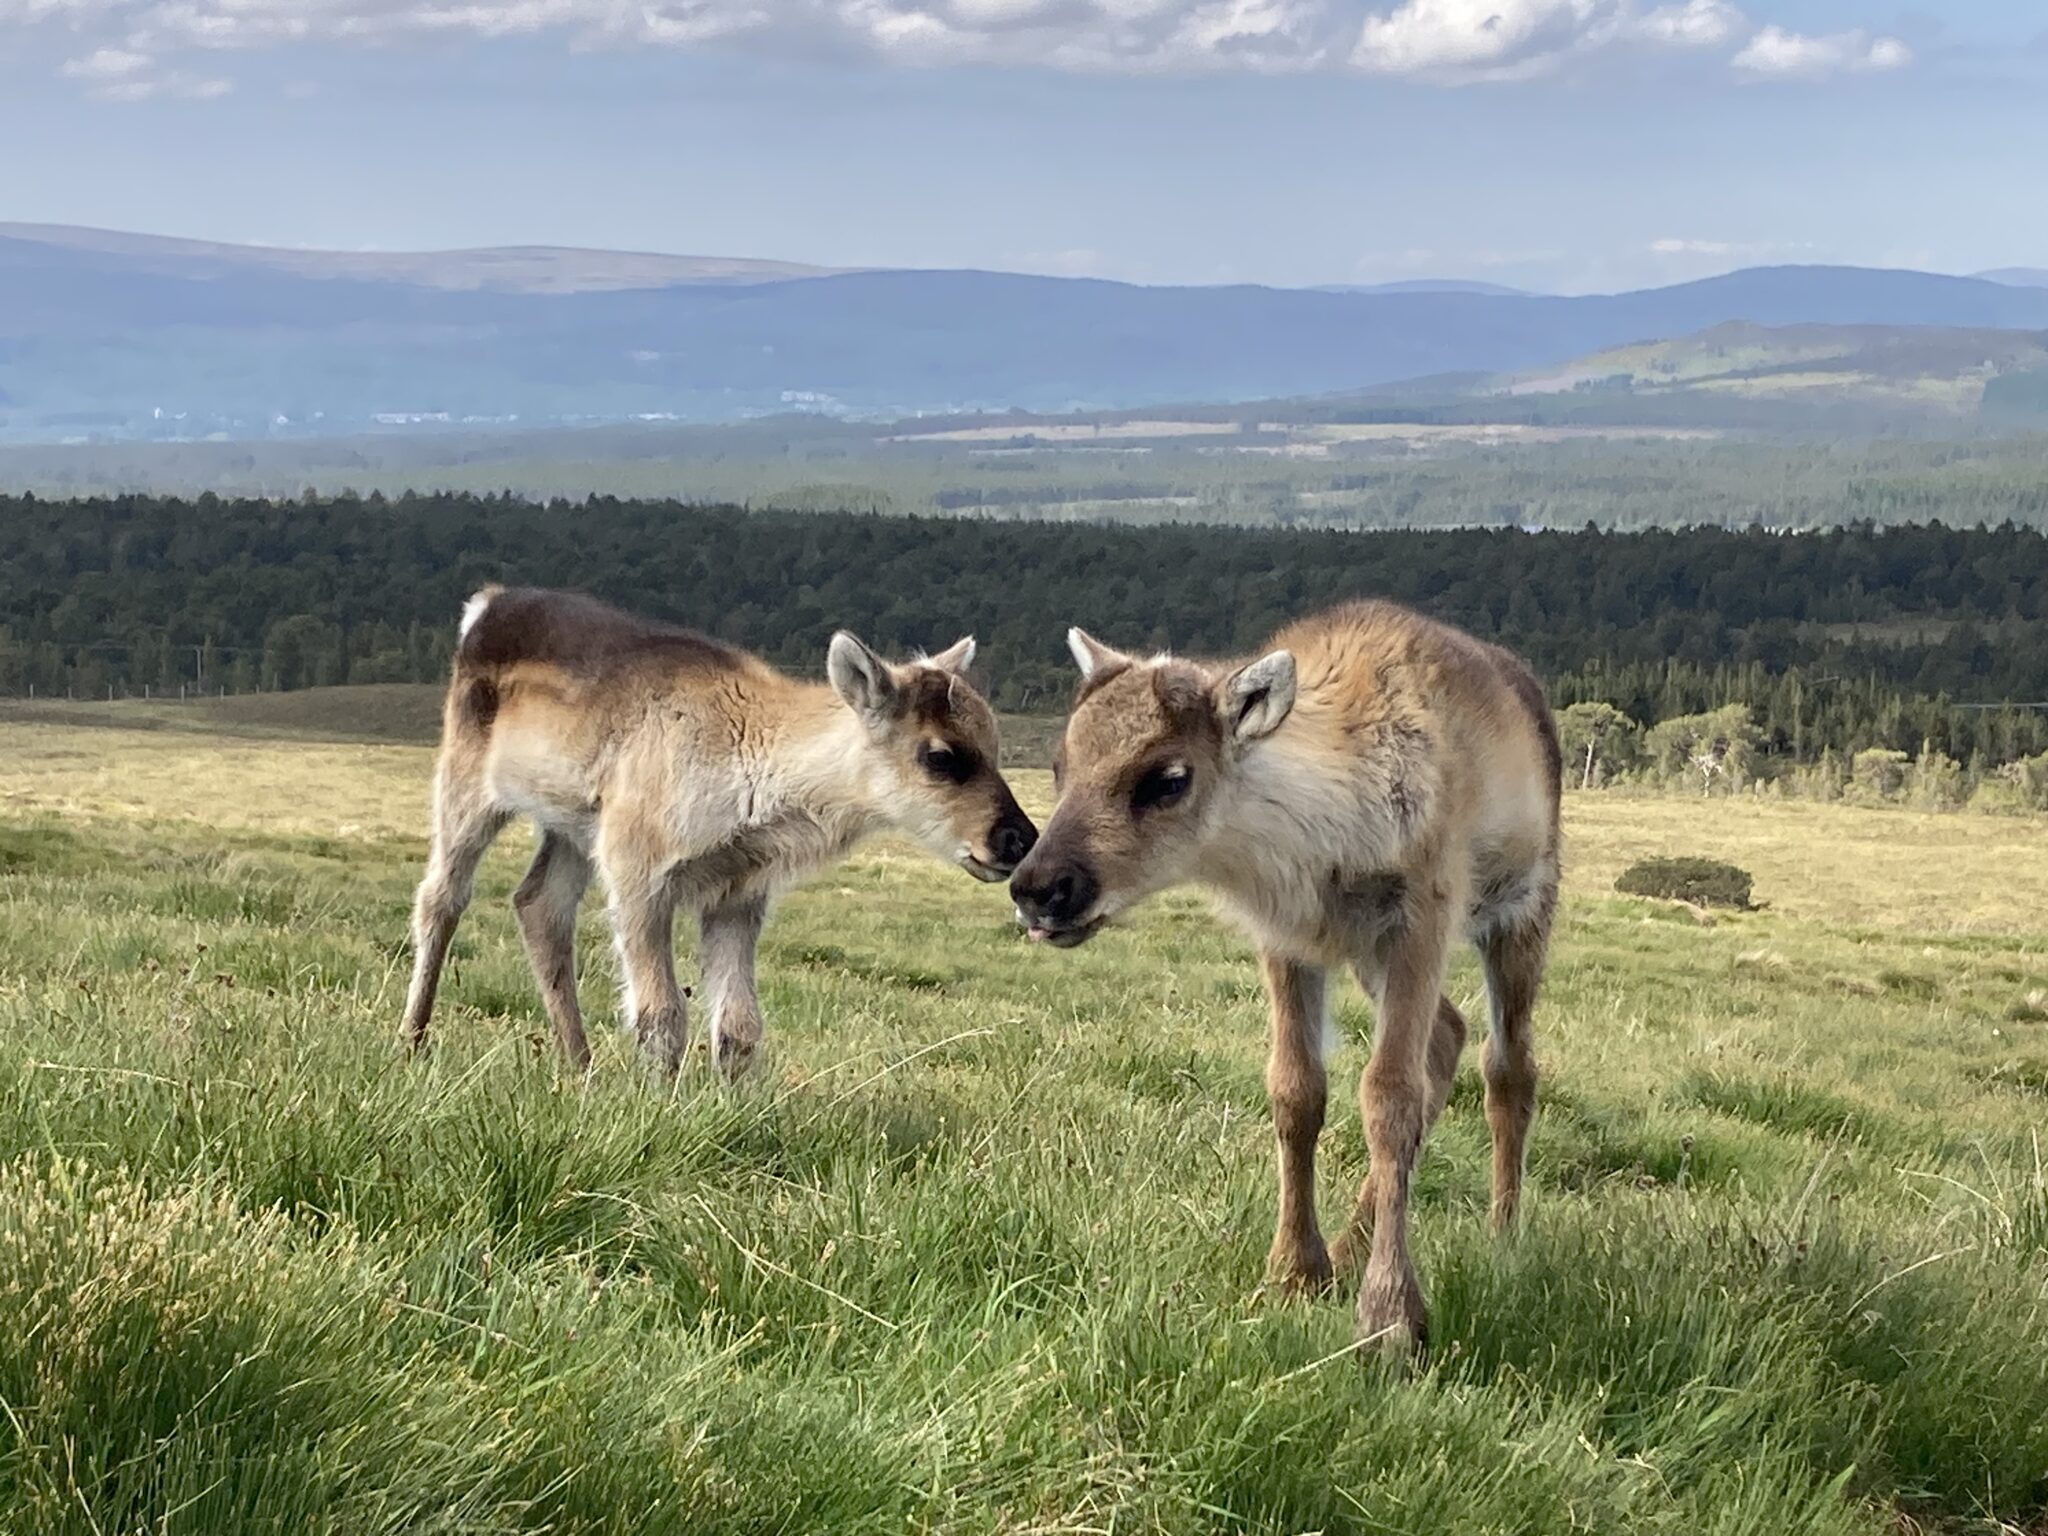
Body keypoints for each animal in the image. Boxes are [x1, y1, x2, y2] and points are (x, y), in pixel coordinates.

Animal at [401, 586, 1038, 1079]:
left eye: (995, 744)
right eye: (940, 755)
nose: (1017, 840)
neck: (753, 752)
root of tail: (486, 606)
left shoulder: (737, 896)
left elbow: (738, 1027)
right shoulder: (639, 878)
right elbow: (660, 1013)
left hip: (571, 831)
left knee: (540, 906)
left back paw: (580, 1068)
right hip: (467, 792)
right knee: (442, 898)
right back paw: (411, 1040)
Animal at [1007, 601, 1561, 1354]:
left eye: (1168, 777)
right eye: (1061, 764)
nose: (1039, 888)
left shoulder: (1423, 915)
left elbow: (1388, 1096)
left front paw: (1392, 1318)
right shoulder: (1290, 939)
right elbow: (1297, 1093)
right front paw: (1297, 1273)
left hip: (1522, 907)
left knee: (1508, 1067)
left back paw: (1502, 1237)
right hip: (1369, 956)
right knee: (1448, 1031)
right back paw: (1349, 1247)